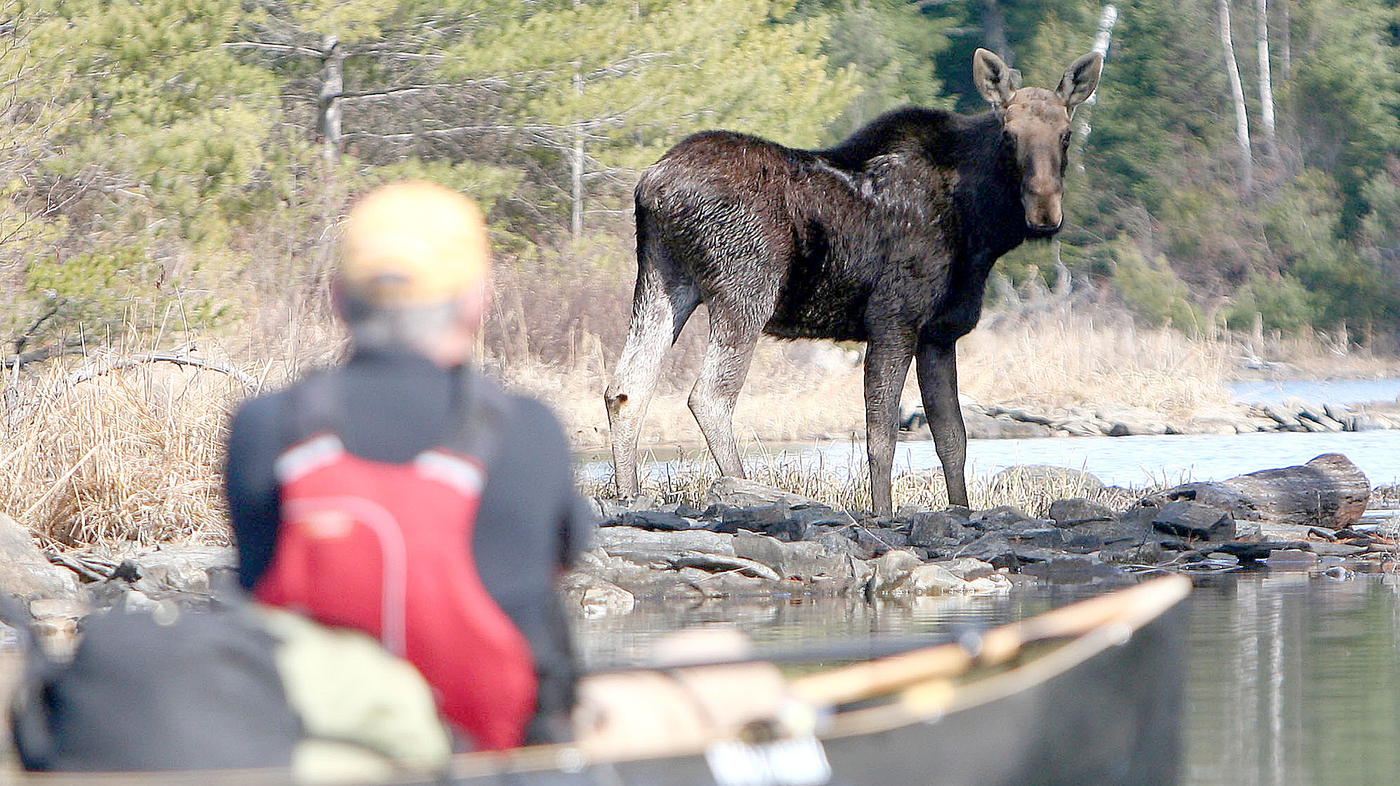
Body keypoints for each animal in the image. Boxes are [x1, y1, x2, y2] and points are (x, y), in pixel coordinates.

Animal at [604, 48, 1103, 516]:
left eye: (1066, 134)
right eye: (1007, 134)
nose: (1044, 214)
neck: (979, 226)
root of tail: (651, 184)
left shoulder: (939, 334)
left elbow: (952, 440)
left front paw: (960, 508)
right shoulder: (893, 320)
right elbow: (881, 437)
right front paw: (882, 512)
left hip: (664, 279)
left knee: (626, 388)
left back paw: (630, 495)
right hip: (746, 285)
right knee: (709, 395)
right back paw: (743, 489)